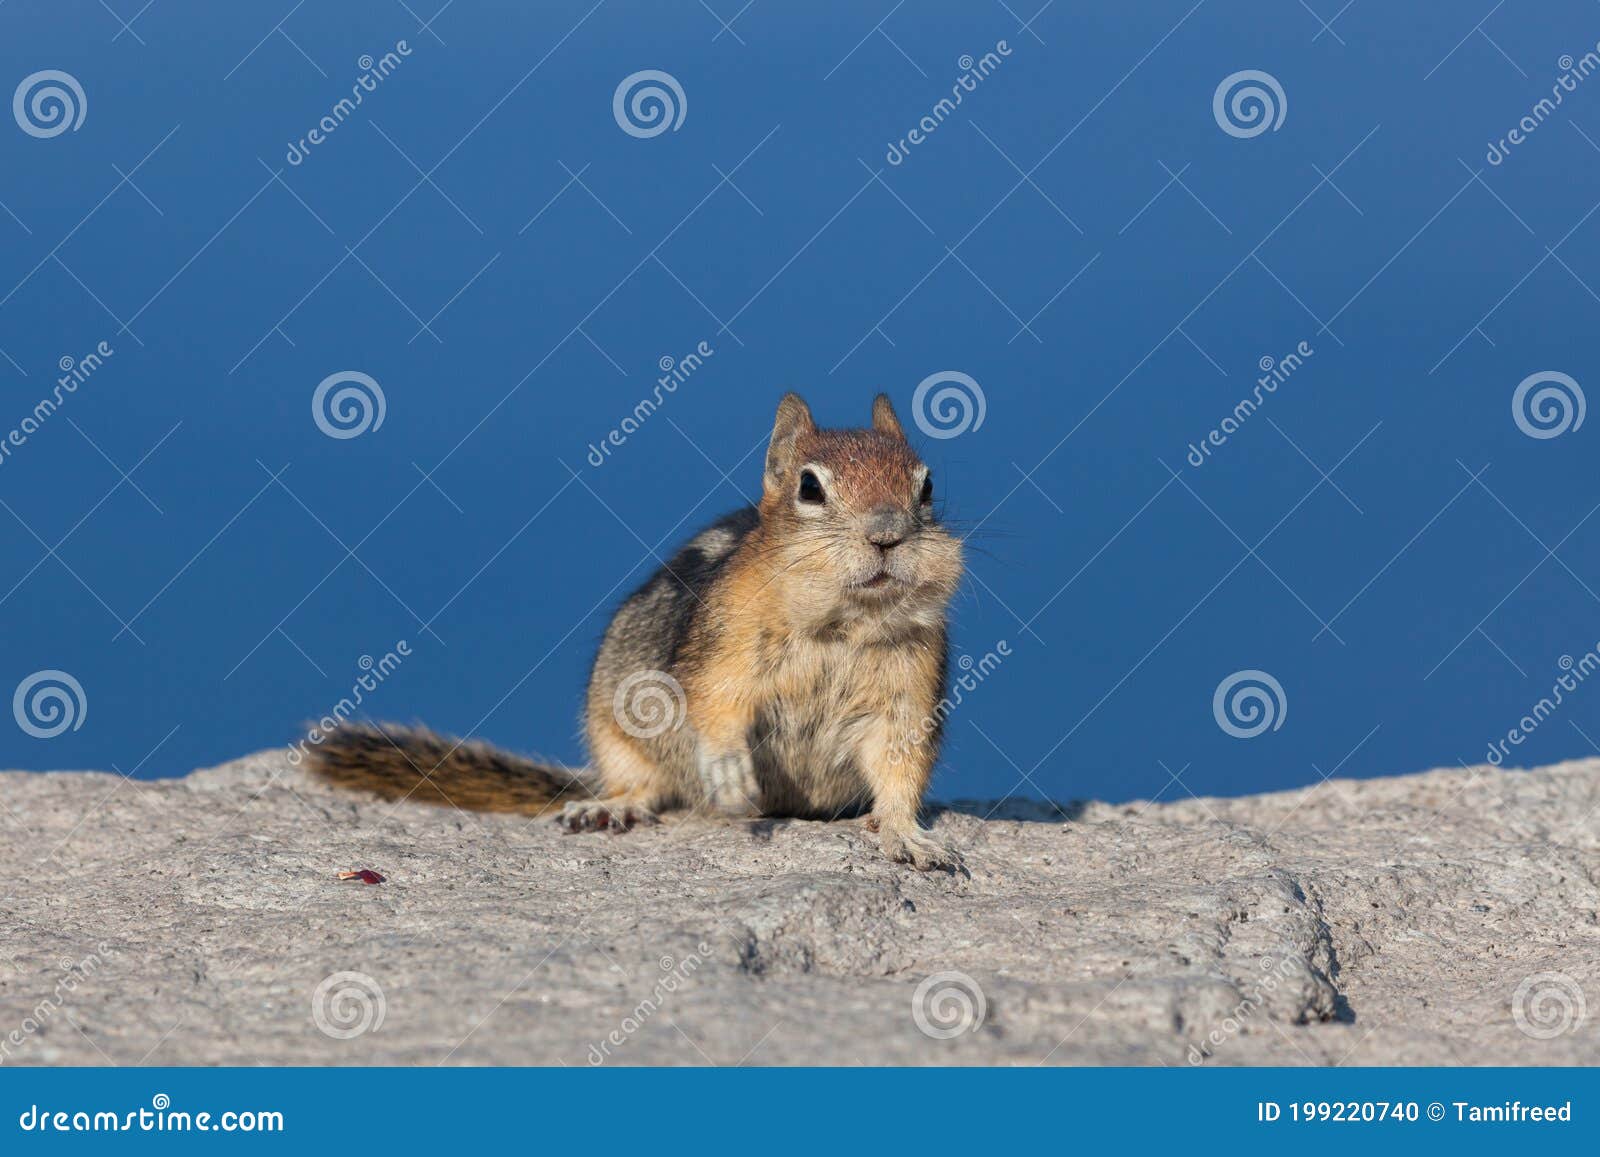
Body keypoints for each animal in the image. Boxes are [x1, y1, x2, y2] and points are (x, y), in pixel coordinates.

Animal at [304, 392, 966, 870]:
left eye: (927, 485)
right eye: (810, 486)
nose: (887, 534)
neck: (842, 626)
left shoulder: (910, 691)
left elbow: (902, 765)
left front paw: (907, 836)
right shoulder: (723, 648)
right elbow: (713, 703)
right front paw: (728, 769)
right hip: (614, 730)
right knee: (644, 785)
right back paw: (610, 808)